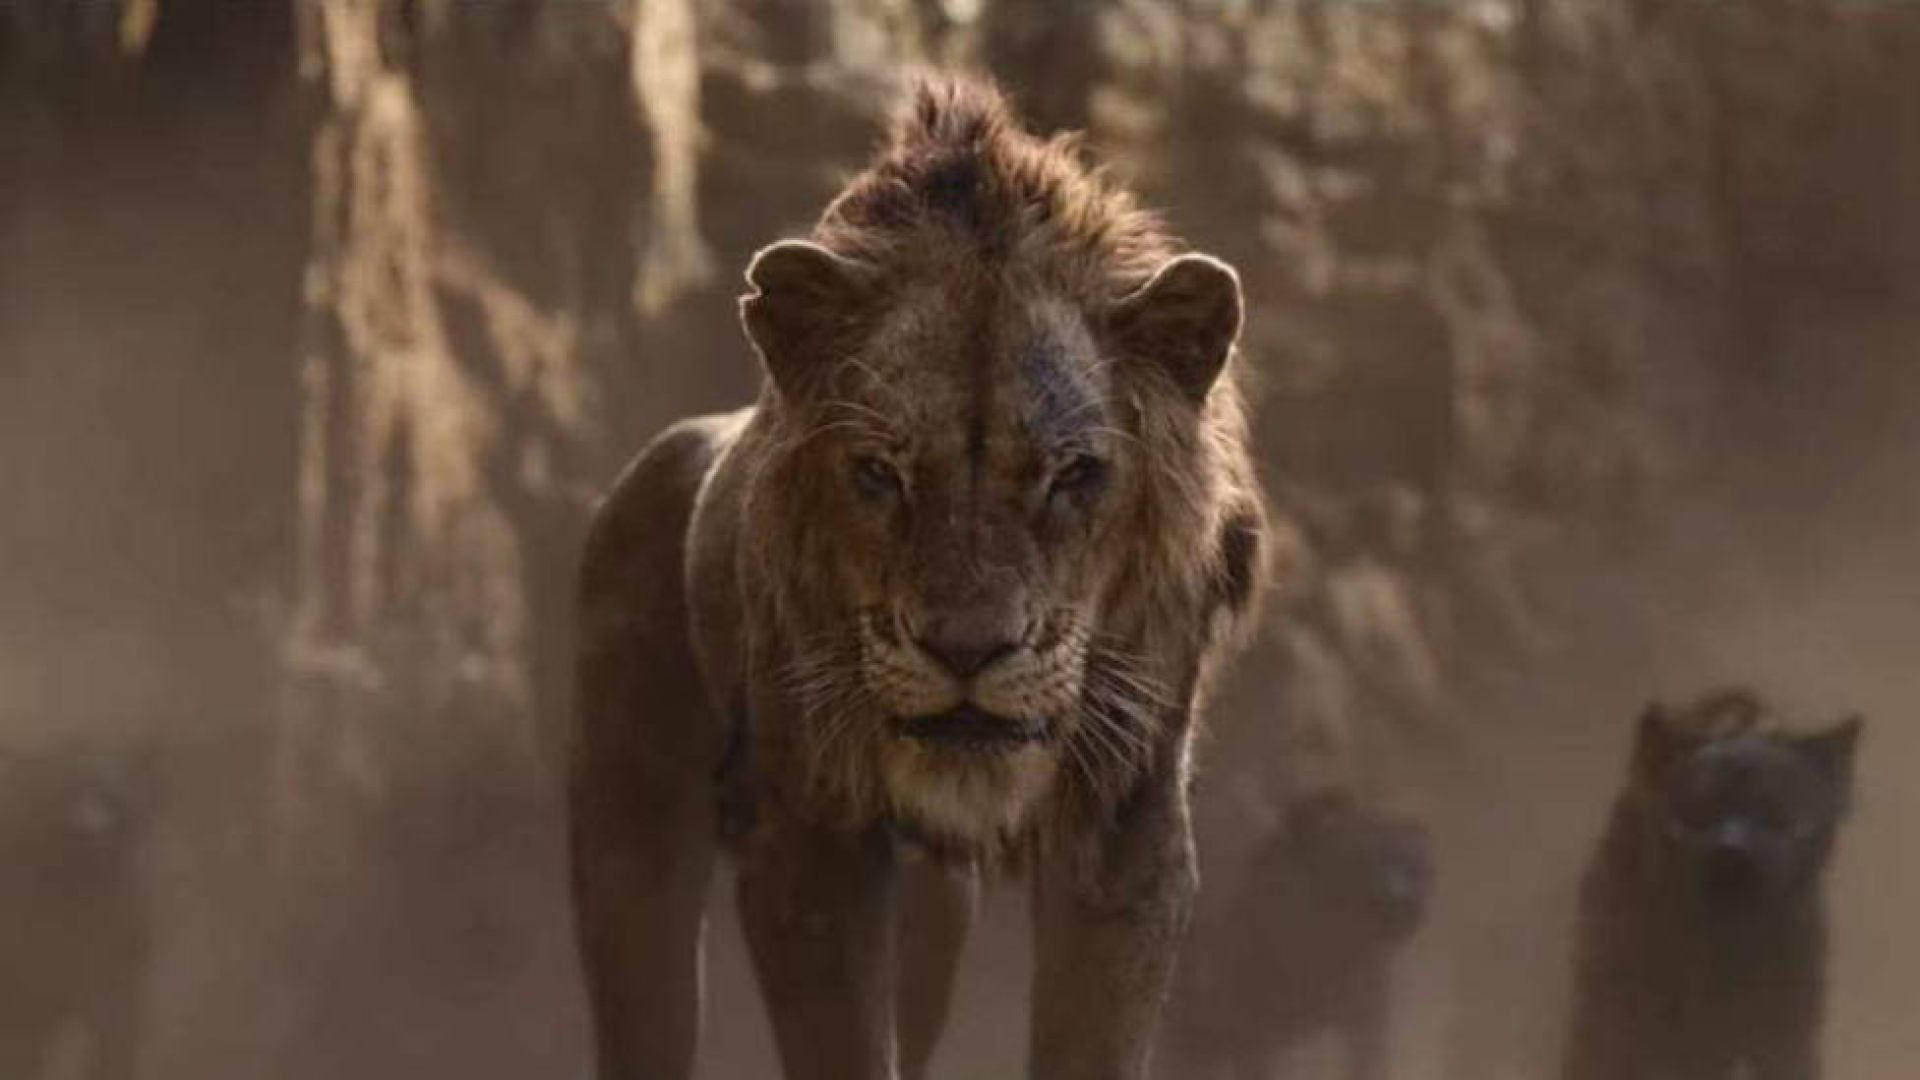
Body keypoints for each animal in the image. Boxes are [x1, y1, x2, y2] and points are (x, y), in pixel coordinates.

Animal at [568, 75, 1268, 1080]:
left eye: (1072, 474)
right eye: (880, 473)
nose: (966, 651)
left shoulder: (1129, 829)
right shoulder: (810, 837)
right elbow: (843, 1043)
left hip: (934, 906)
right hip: (629, 831)